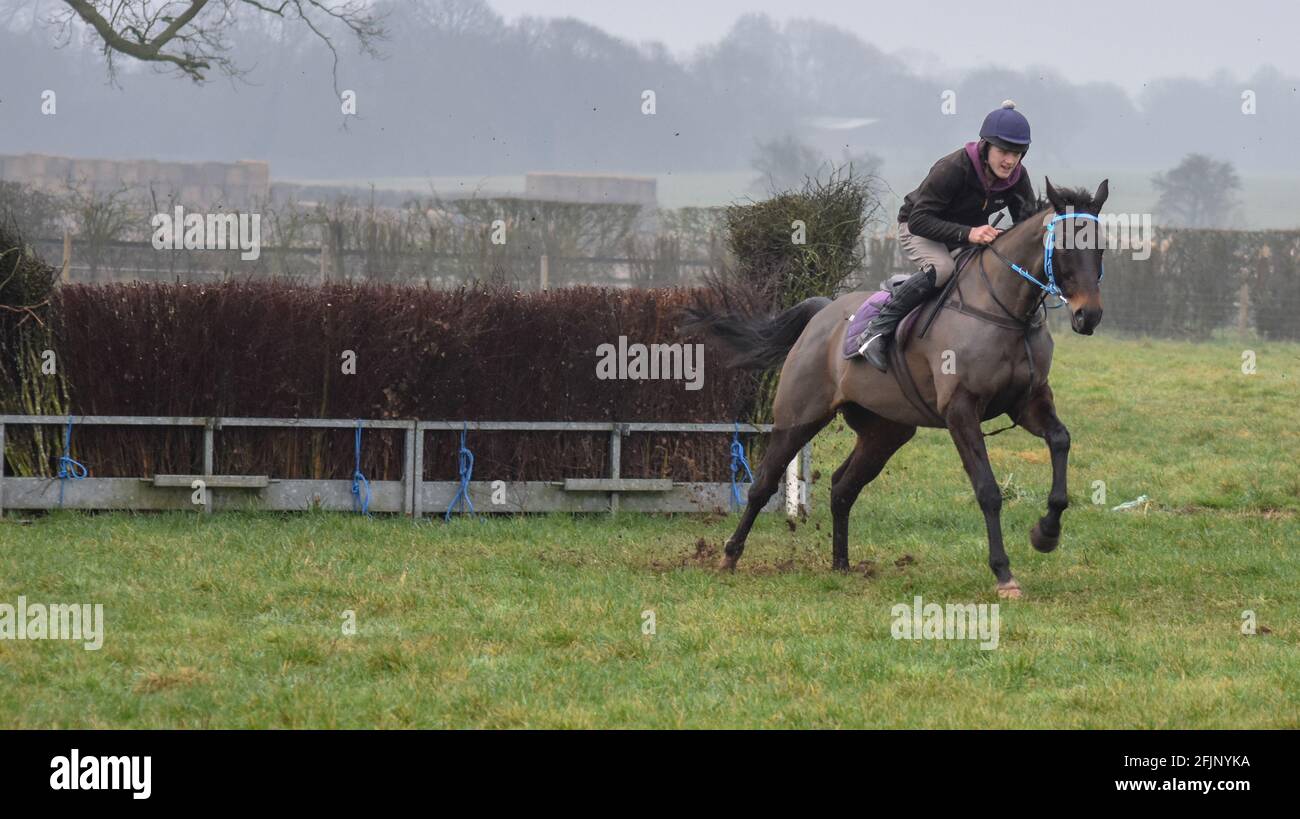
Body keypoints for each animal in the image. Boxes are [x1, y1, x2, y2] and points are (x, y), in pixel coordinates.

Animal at [686, 178, 1108, 599]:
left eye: (1101, 247)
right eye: (1066, 249)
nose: (1088, 316)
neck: (1004, 310)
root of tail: (821, 313)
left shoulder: (1028, 401)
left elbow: (1061, 440)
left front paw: (1046, 533)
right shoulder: (961, 411)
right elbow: (988, 490)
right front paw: (1004, 574)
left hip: (886, 431)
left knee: (842, 486)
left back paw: (841, 564)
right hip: (799, 416)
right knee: (763, 485)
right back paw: (729, 557)